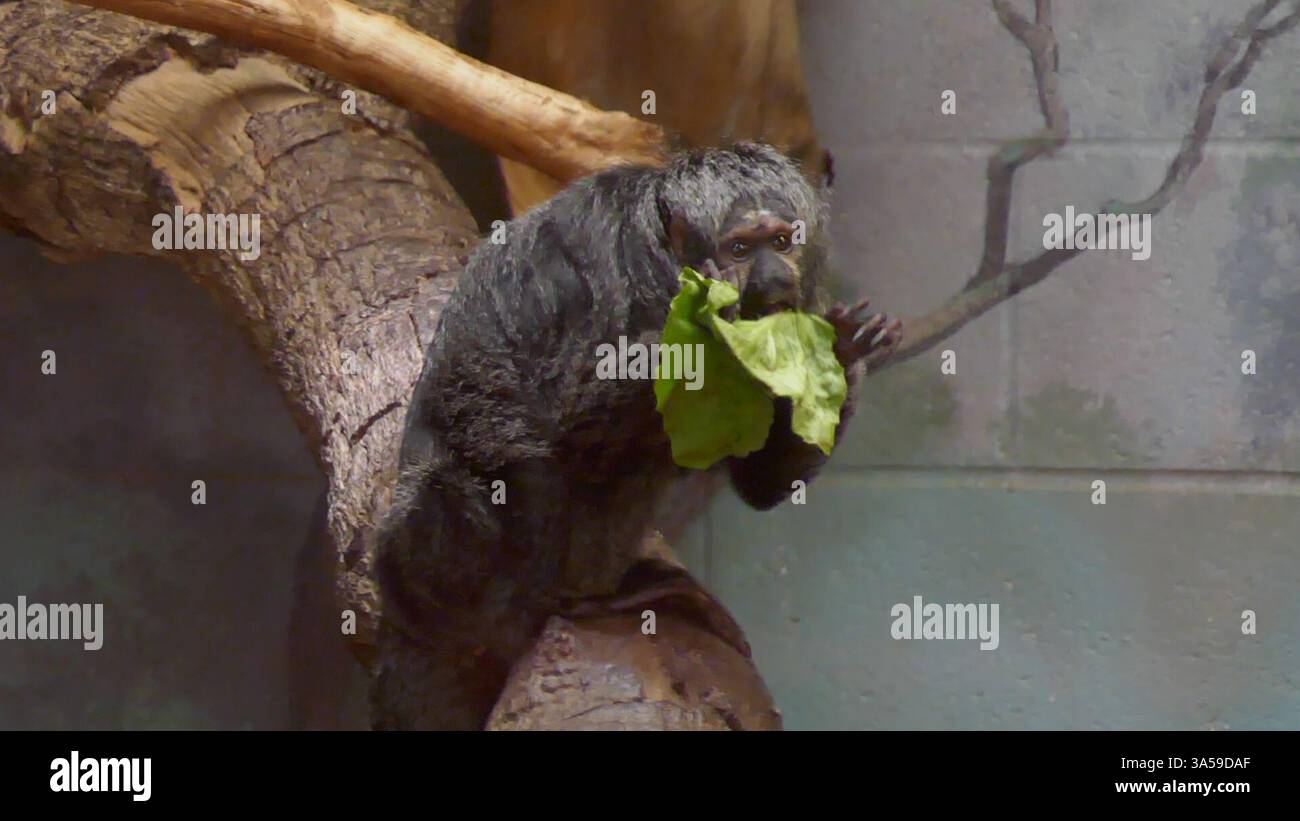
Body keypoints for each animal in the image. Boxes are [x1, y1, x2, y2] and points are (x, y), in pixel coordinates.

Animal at [370, 142, 901, 729]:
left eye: (782, 243)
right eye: (740, 249)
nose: (773, 277)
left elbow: (759, 483)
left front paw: (840, 356)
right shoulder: (615, 261)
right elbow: (565, 409)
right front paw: (718, 326)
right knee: (468, 484)